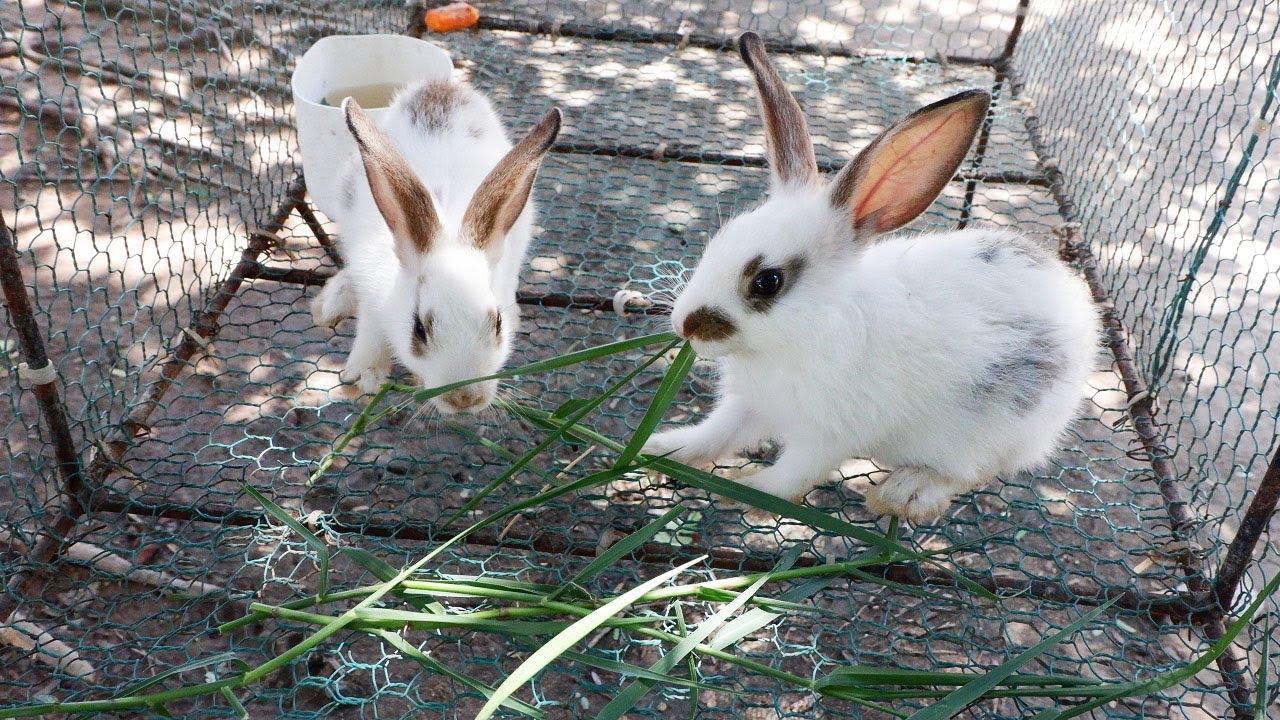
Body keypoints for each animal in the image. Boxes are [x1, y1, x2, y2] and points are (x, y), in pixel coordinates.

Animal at [311, 79, 561, 414]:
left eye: (497, 323)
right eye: (419, 329)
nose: (465, 400)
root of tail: (438, 86)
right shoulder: (373, 297)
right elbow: (371, 332)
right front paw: (366, 375)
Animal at [642, 32, 1101, 522]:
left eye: (767, 281)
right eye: (719, 240)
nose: (685, 326)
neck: (805, 332)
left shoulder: (828, 435)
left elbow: (791, 477)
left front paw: (744, 492)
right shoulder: (747, 406)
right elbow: (714, 434)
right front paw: (658, 449)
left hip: (990, 429)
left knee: (972, 471)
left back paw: (903, 494)